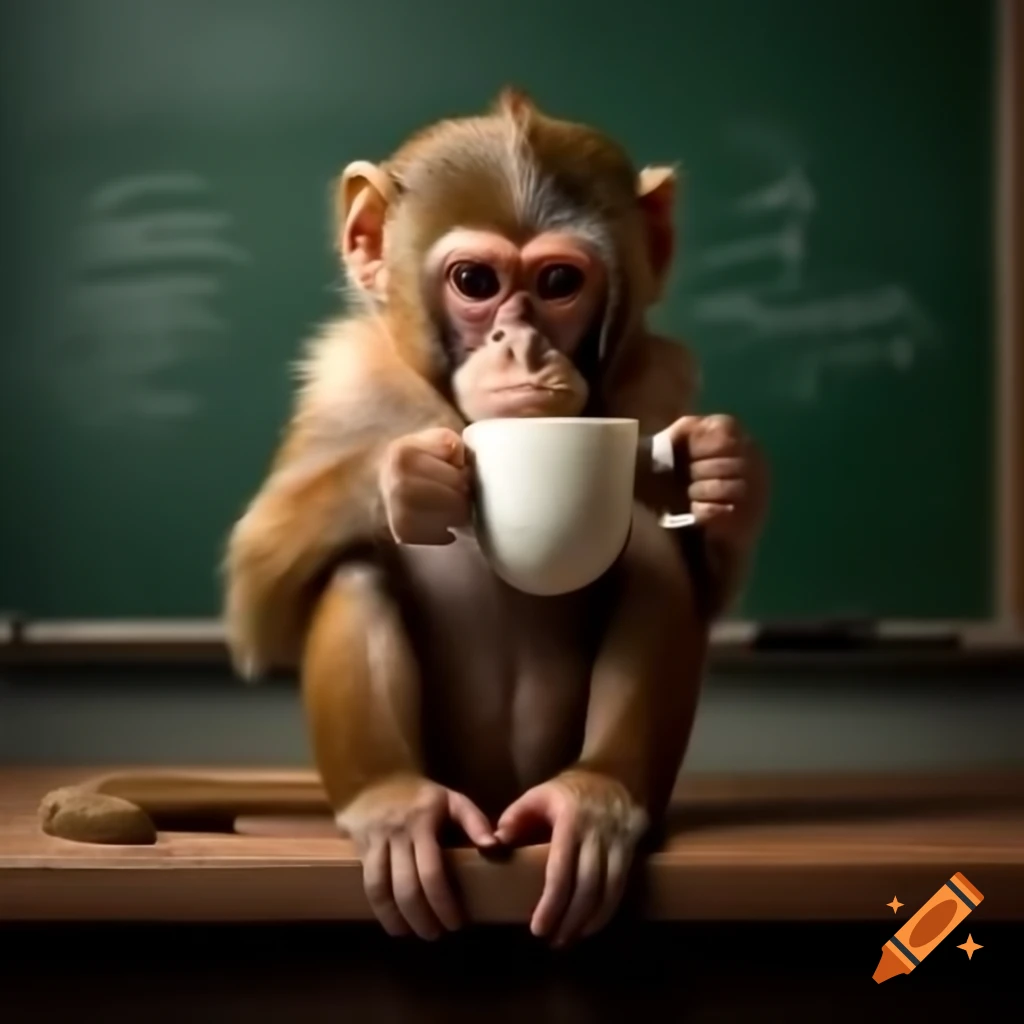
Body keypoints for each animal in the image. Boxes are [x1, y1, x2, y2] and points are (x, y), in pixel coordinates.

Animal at [38, 89, 770, 948]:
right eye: (475, 280)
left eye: (559, 281)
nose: (522, 347)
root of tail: (494, 811)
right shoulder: (346, 386)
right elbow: (259, 604)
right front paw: (403, 479)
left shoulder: (655, 386)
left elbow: (689, 558)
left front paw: (722, 471)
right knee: (355, 569)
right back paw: (392, 803)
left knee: (648, 554)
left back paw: (592, 797)